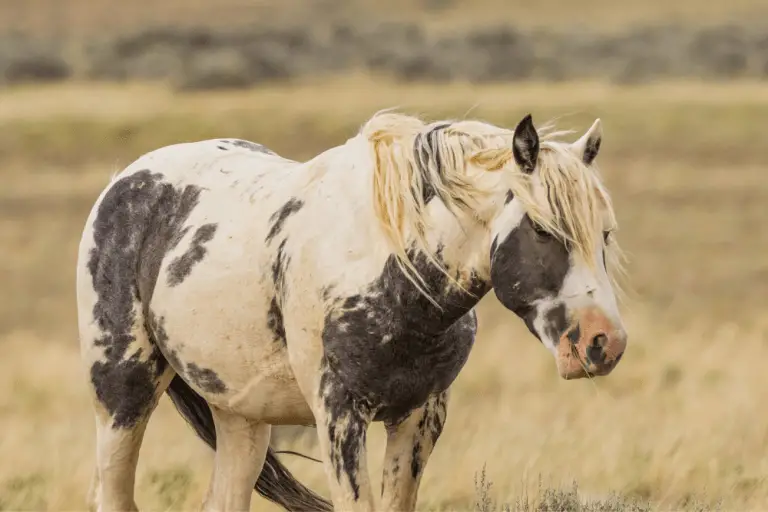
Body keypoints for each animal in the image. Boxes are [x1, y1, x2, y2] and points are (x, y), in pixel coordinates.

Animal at [76, 110, 628, 512]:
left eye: (604, 234)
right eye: (542, 229)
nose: (604, 342)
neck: (393, 271)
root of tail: (124, 182)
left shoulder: (421, 414)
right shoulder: (339, 416)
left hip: (240, 418)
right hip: (123, 395)